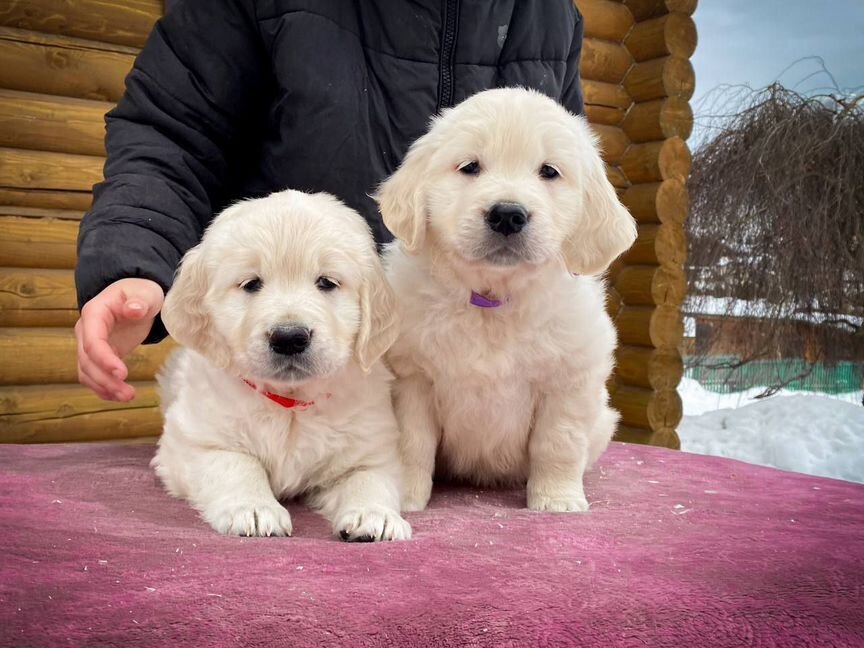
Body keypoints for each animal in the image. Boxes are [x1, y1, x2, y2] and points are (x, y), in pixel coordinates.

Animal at [152, 189, 412, 540]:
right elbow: (238, 465)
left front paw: (374, 515)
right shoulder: (193, 442)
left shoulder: (372, 450)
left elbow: (369, 479)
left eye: (326, 282)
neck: (290, 404)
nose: (289, 338)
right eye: (251, 284)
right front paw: (253, 509)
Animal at [376, 87, 636, 512]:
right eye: (470, 167)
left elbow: (558, 442)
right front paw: (405, 497)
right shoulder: (412, 377)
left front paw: (557, 500)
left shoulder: (568, 381)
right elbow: (413, 443)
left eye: (549, 171)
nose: (508, 215)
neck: (493, 301)